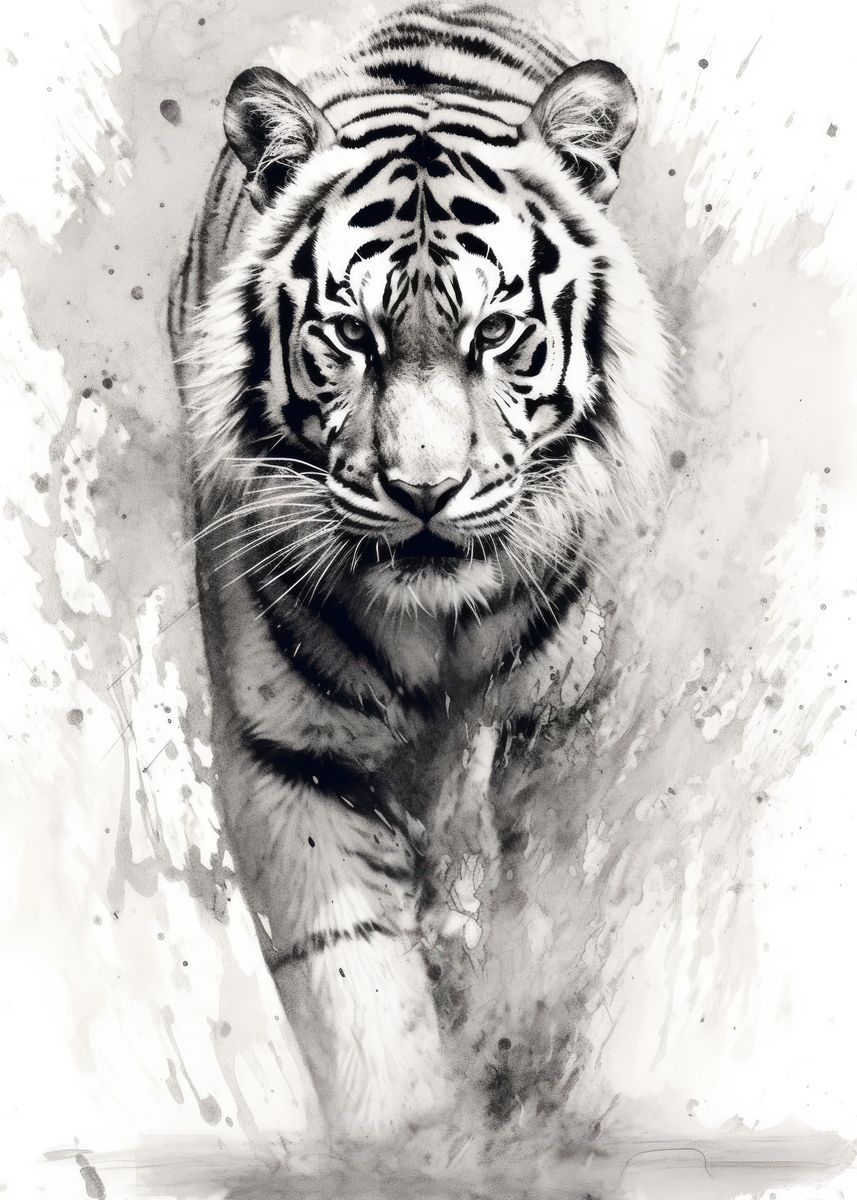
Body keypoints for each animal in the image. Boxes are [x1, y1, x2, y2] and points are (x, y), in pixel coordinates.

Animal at [168, 1, 671, 1143]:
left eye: (497, 332)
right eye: (350, 335)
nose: (424, 489)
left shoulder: (561, 714)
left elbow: (543, 897)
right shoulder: (286, 753)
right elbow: (352, 982)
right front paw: (414, 1141)